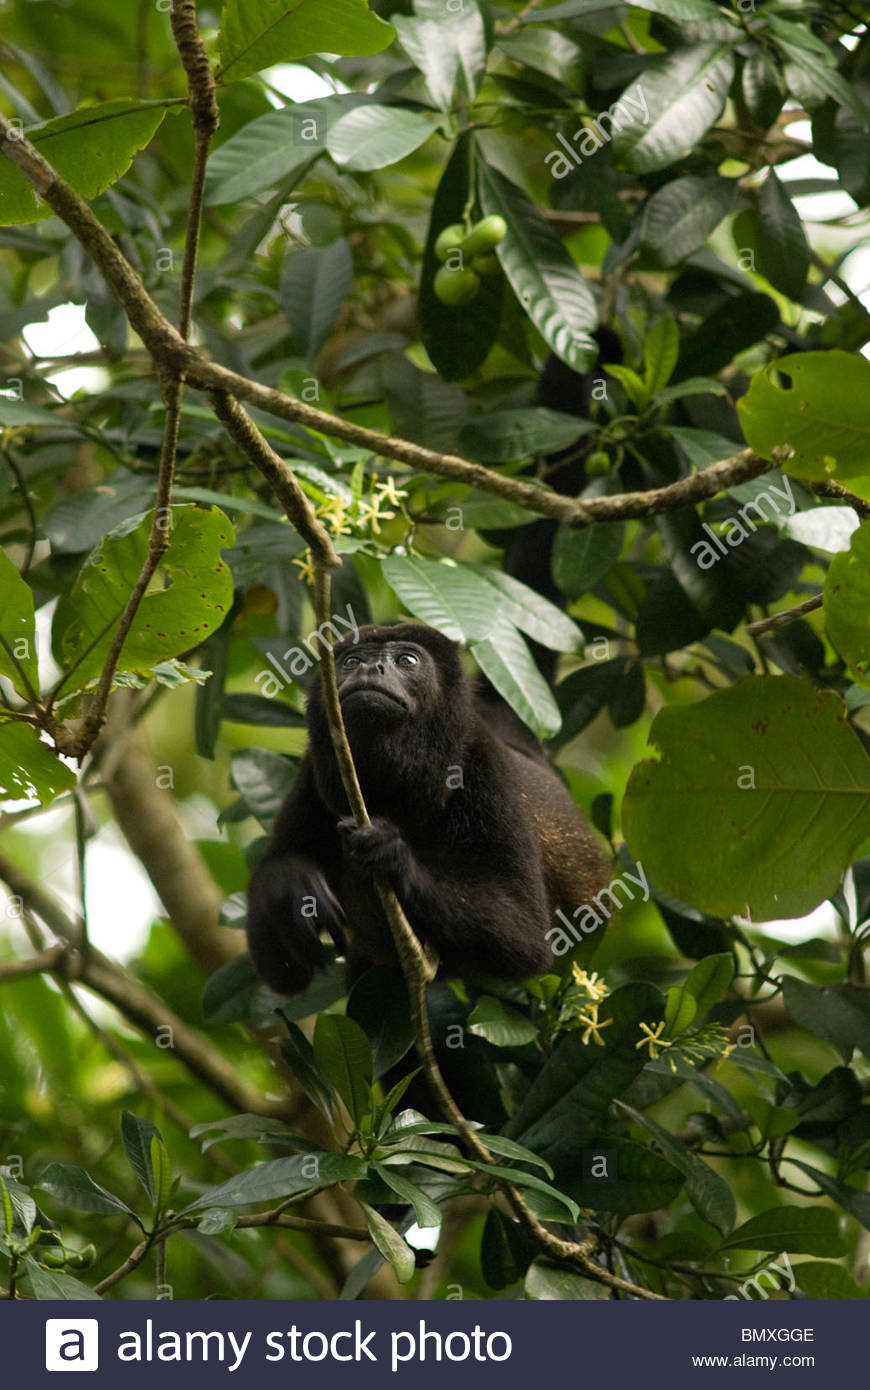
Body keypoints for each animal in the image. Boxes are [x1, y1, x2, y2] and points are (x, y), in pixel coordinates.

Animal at [246, 622, 611, 996]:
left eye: (407, 660)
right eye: (351, 661)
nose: (369, 668)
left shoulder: (484, 767)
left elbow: (526, 934)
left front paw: (392, 854)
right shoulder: (314, 771)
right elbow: (280, 971)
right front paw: (295, 890)